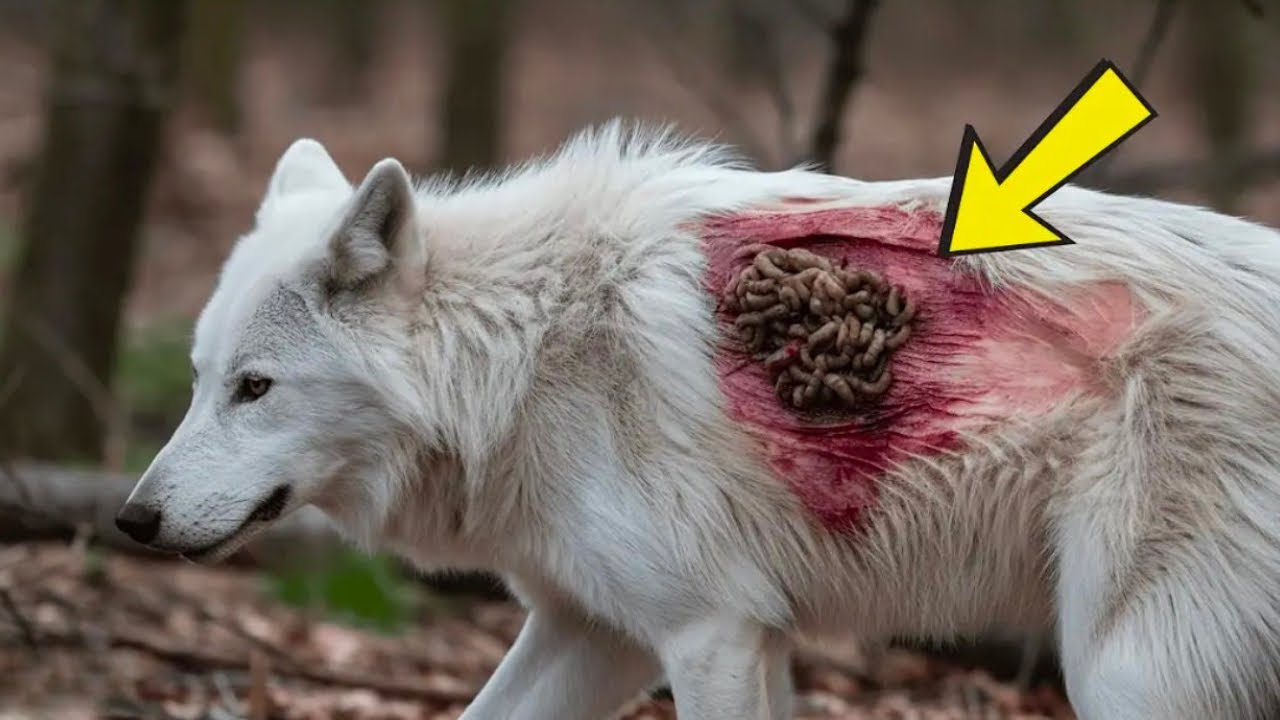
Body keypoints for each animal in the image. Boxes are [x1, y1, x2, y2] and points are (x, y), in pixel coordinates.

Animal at [116, 122, 1280, 719]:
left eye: (255, 389)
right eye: (199, 380)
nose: (131, 519)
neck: (522, 357)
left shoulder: (709, 632)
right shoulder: (598, 632)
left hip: (1131, 676)